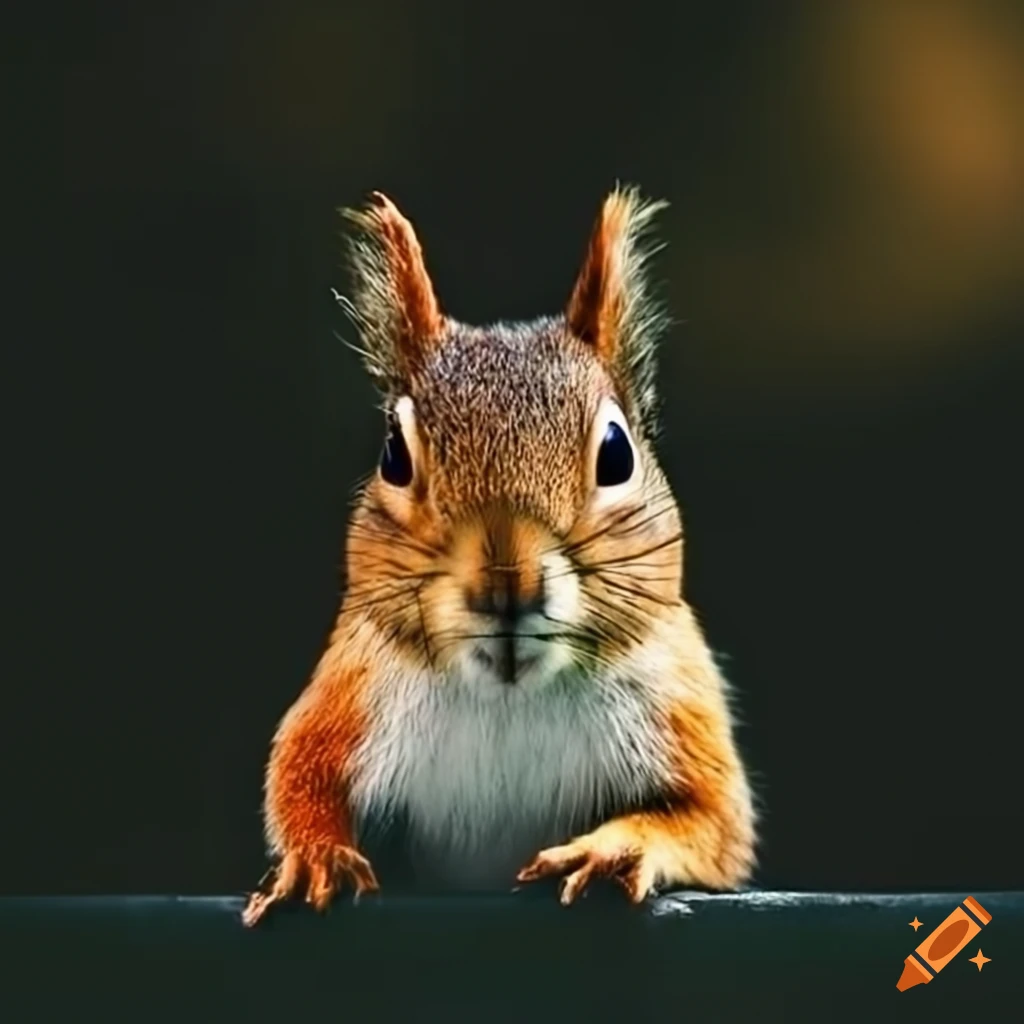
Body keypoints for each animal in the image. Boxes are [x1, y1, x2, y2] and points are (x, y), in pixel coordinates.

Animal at [241, 186, 757, 926]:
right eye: (393, 456)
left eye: (617, 454)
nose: (506, 585)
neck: (512, 697)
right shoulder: (348, 697)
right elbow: (297, 779)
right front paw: (316, 856)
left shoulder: (681, 709)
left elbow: (709, 824)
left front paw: (614, 849)